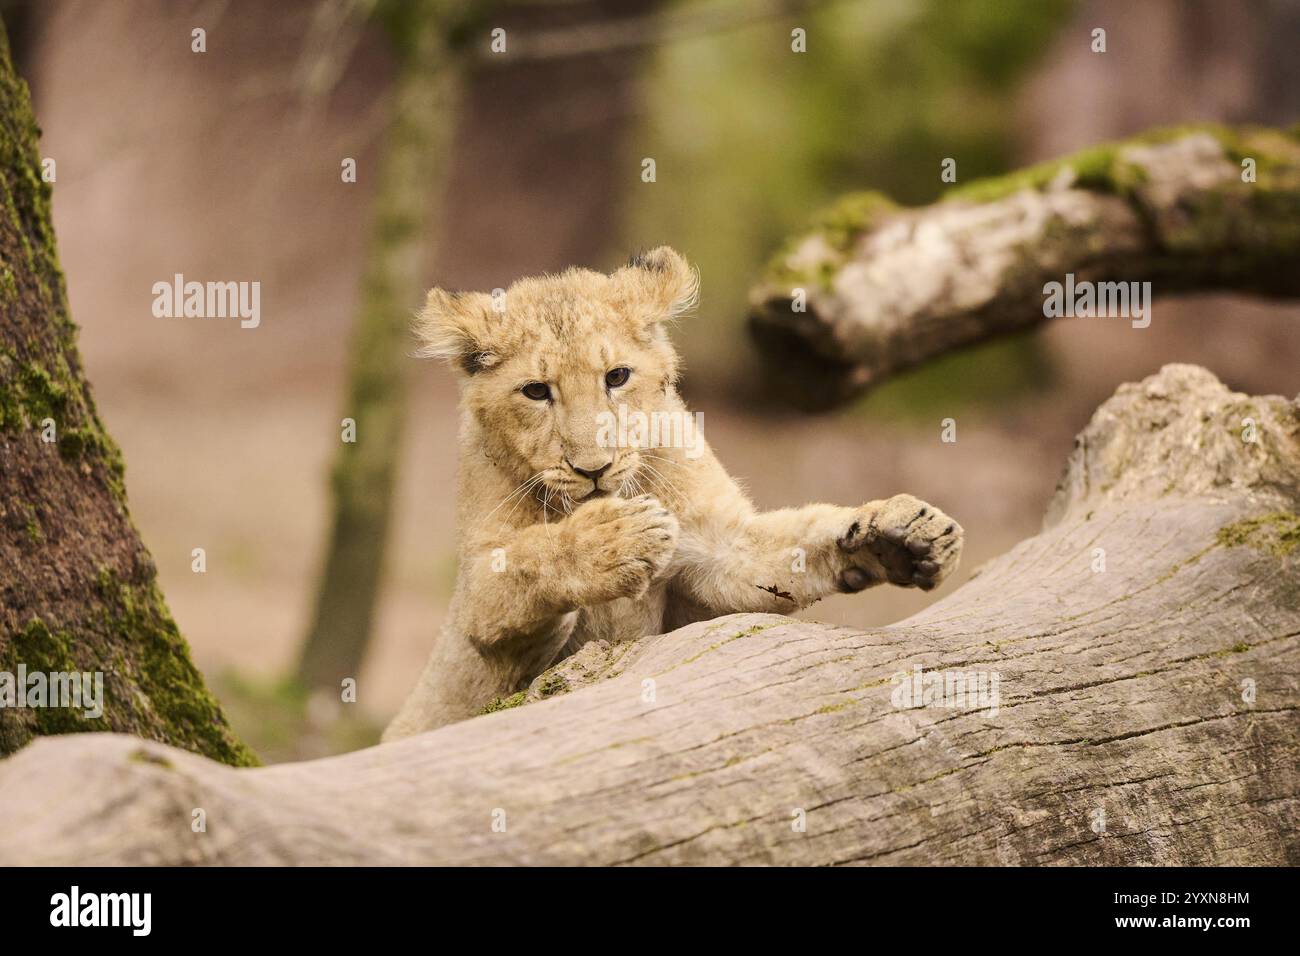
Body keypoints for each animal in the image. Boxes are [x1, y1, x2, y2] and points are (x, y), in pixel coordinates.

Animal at [384, 247, 963, 739]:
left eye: (617, 376)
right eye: (535, 391)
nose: (593, 469)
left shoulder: (720, 545)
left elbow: (793, 547)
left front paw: (898, 535)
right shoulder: (477, 604)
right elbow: (528, 561)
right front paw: (614, 540)